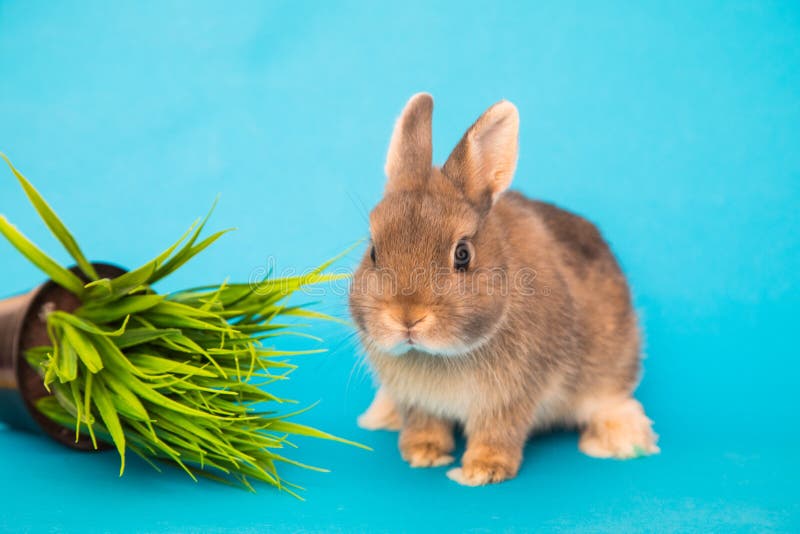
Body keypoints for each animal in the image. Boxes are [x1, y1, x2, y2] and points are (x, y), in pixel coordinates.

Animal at [349, 93, 659, 486]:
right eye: (374, 251)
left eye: (463, 254)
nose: (407, 317)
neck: (440, 355)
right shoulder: (417, 401)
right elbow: (424, 424)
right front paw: (423, 454)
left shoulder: (511, 397)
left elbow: (497, 432)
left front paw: (482, 470)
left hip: (612, 363)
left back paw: (622, 440)